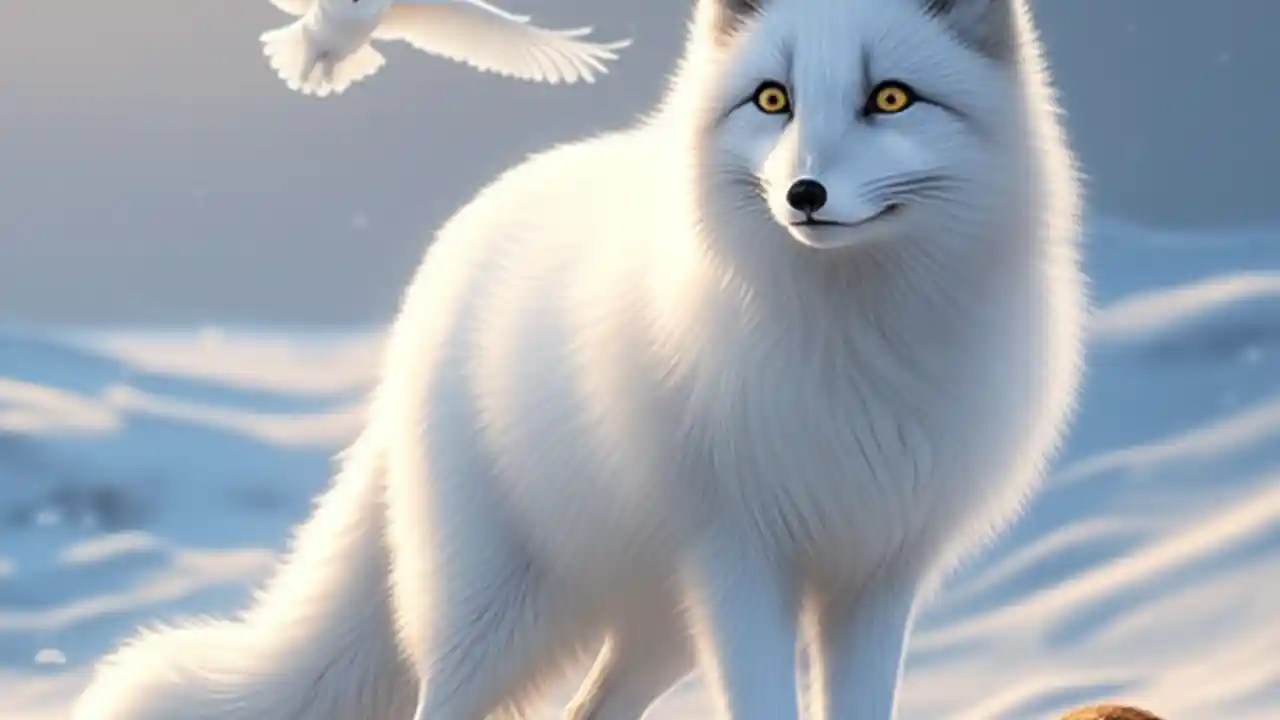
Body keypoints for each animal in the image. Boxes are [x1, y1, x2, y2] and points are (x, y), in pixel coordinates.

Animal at [75, 0, 1084, 718]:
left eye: (890, 97)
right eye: (773, 99)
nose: (804, 193)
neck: (854, 344)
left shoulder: (879, 576)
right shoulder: (739, 557)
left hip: (659, 625)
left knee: (591, 710)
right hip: (496, 610)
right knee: (446, 697)